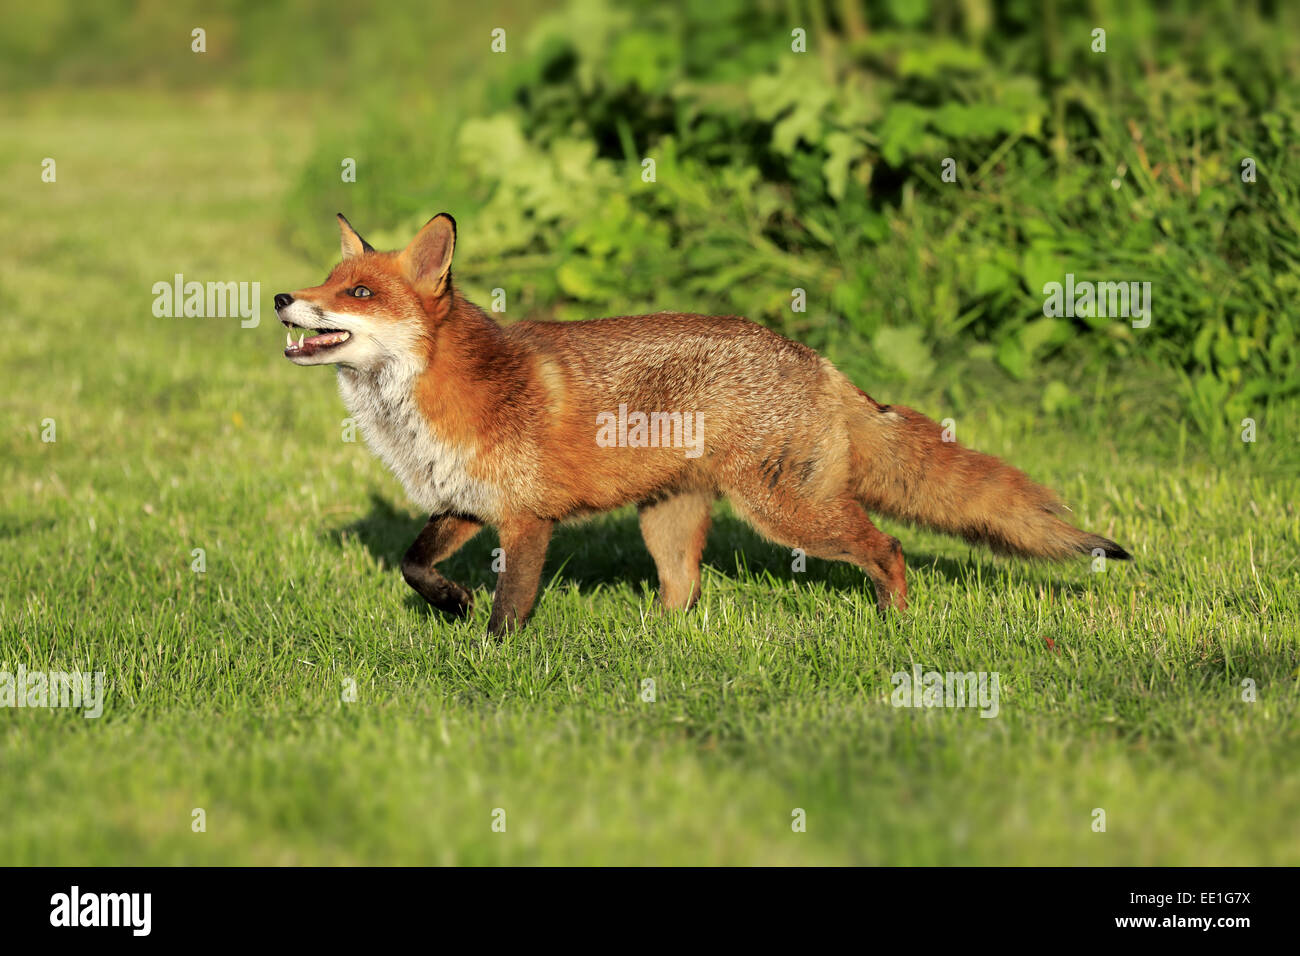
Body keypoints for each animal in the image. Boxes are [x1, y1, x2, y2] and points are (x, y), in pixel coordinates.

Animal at [276, 212, 1130, 636]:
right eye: (327, 279)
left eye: (356, 292)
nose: (283, 298)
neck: (423, 409)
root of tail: (818, 360)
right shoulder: (462, 502)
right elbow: (411, 564)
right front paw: (448, 603)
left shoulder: (526, 519)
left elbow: (510, 608)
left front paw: (490, 657)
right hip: (670, 521)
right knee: (683, 593)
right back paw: (657, 641)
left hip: (789, 513)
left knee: (886, 548)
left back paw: (893, 625)